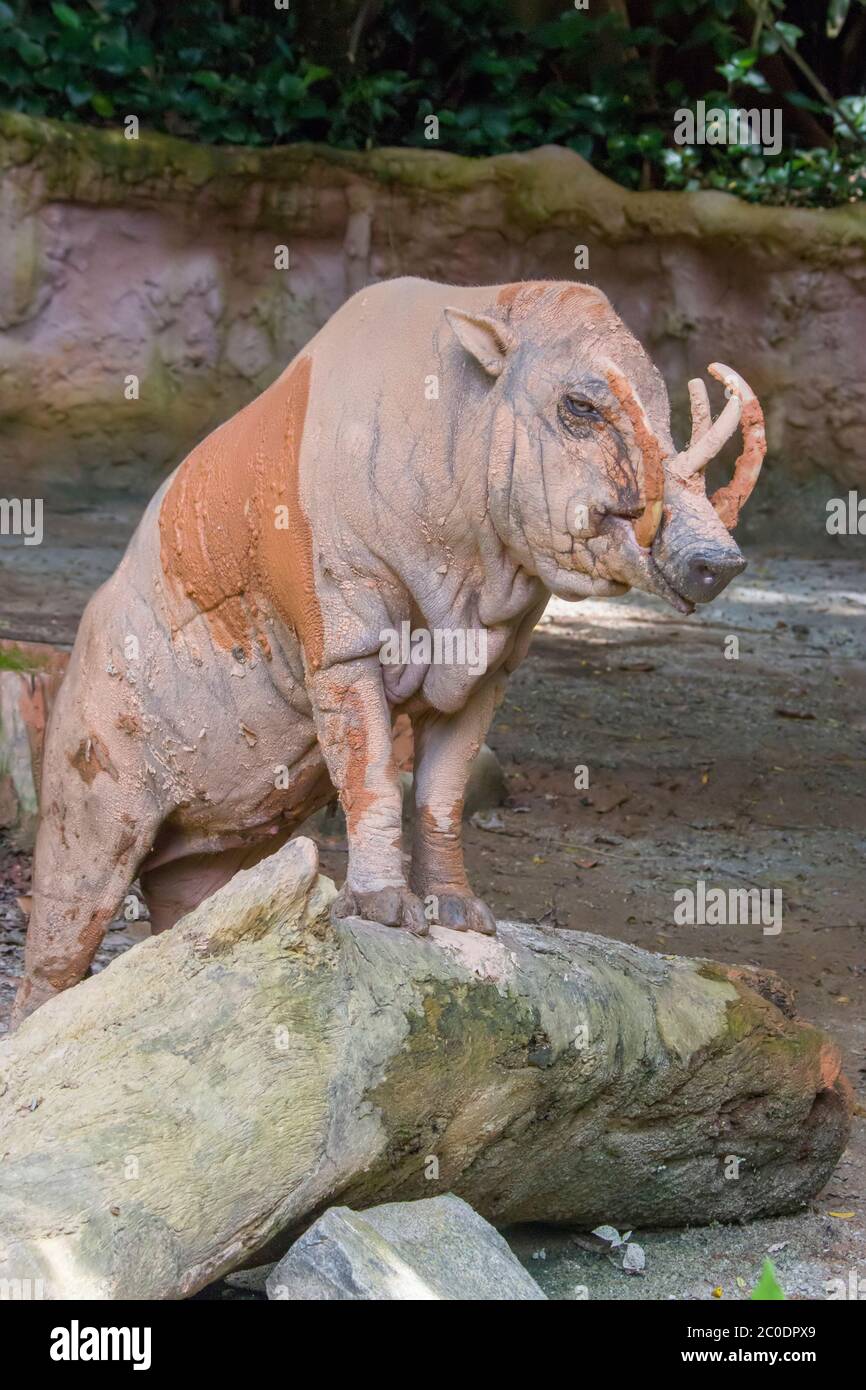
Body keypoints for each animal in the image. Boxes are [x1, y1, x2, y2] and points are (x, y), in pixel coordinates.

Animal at [12, 278, 764, 1025]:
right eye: (578, 407)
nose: (717, 564)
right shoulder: (339, 634)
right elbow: (371, 771)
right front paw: (382, 912)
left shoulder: (488, 666)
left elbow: (442, 794)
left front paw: (462, 917)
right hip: (90, 741)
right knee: (72, 909)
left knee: (190, 896)